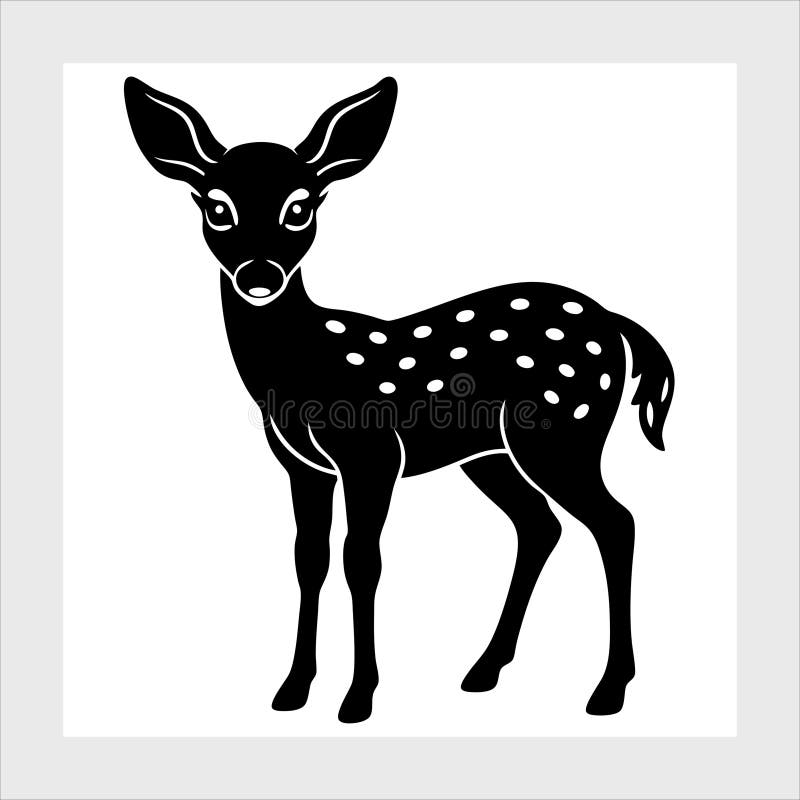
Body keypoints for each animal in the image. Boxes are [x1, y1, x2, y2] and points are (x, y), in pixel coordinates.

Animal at [124, 75, 674, 724]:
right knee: (540, 525)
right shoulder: (303, 466)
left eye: (299, 207)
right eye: (217, 206)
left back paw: (608, 689)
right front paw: (293, 689)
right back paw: (484, 670)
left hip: (564, 431)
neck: (302, 363)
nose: (259, 276)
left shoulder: (372, 453)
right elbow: (308, 558)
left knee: (616, 522)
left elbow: (363, 560)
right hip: (492, 454)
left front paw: (358, 698)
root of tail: (615, 323)